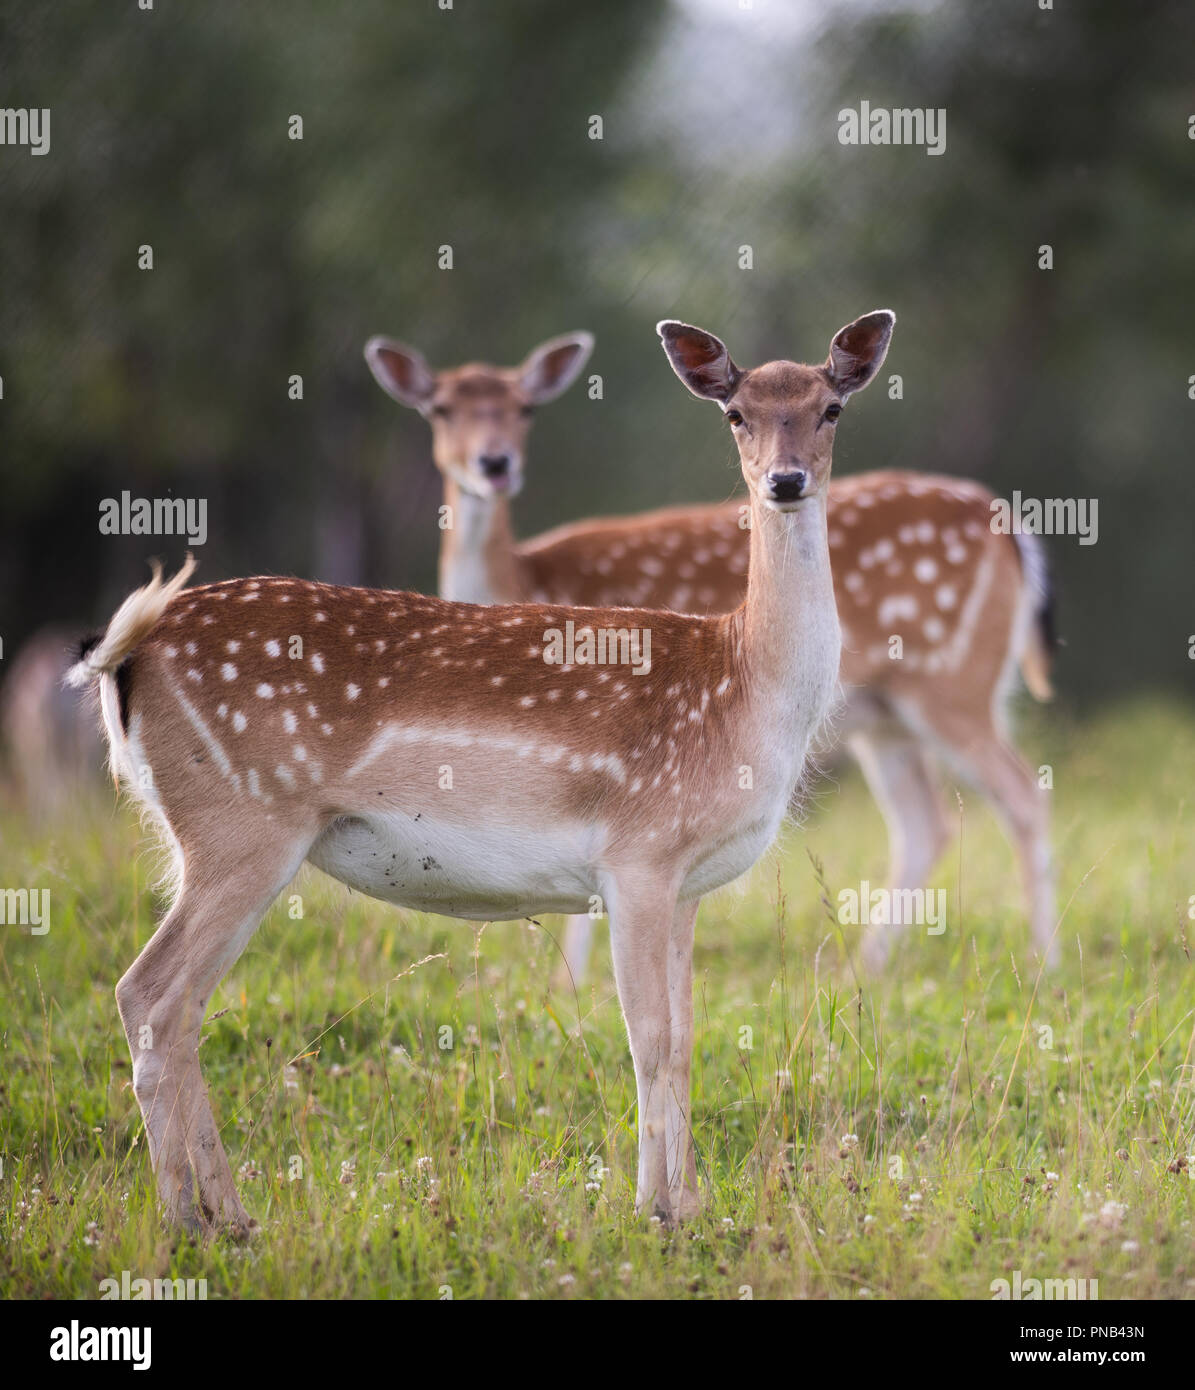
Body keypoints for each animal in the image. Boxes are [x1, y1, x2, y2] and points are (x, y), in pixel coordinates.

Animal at [67, 310, 894, 1234]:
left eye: (829, 409)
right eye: (736, 414)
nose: (785, 480)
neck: (743, 690)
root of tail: (124, 652)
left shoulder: (687, 882)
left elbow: (685, 1038)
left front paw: (688, 1204)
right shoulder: (638, 853)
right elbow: (647, 1036)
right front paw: (652, 1211)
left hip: (214, 833)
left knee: (180, 1005)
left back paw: (228, 1216)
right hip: (240, 823)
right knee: (150, 993)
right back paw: (190, 1219)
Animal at [365, 335, 1055, 979]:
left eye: (525, 408)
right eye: (440, 409)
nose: (494, 463)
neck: (523, 579)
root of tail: (1010, 528)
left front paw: (572, 985)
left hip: (953, 684)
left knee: (1023, 795)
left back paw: (1043, 963)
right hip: (885, 716)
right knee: (925, 822)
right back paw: (864, 969)